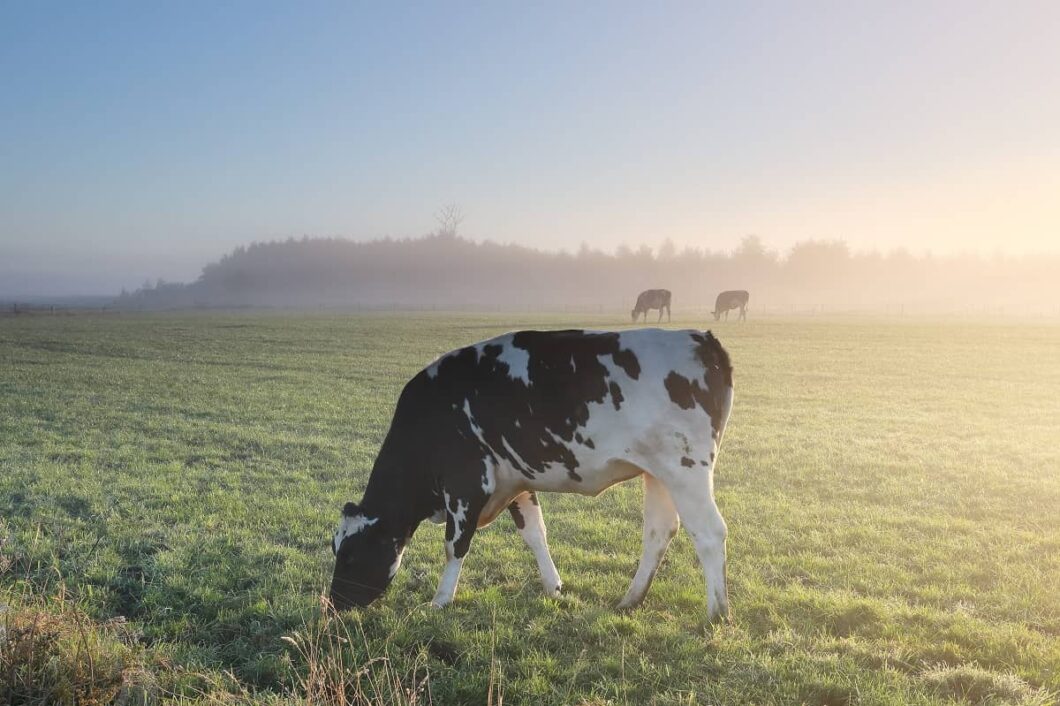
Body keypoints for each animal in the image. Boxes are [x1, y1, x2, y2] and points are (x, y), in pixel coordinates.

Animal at [330, 328, 735, 621]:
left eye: (349, 555)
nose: (333, 604)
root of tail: (701, 338)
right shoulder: (515, 481)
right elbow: (535, 534)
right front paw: (553, 587)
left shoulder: (467, 482)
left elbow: (455, 545)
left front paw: (441, 600)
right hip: (659, 473)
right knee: (658, 531)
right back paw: (630, 600)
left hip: (686, 469)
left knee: (710, 533)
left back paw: (716, 613)